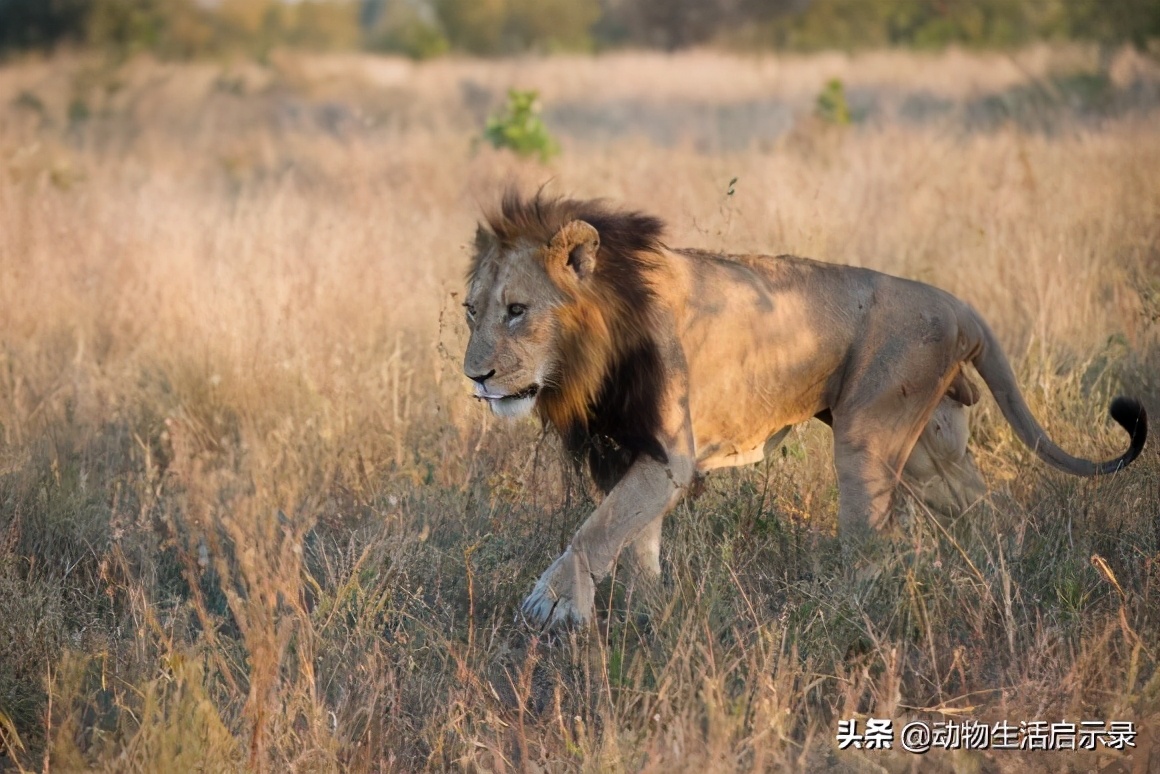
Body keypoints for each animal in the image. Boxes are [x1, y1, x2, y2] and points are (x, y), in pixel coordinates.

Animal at [462, 190, 1148, 628]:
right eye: (471, 311)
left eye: (517, 310)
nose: (476, 379)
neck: (589, 354)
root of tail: (955, 303)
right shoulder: (628, 449)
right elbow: (633, 539)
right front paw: (650, 614)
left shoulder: (668, 455)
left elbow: (596, 530)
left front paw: (553, 605)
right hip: (930, 455)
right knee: (995, 511)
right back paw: (1002, 570)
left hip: (869, 435)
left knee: (875, 550)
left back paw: (843, 614)